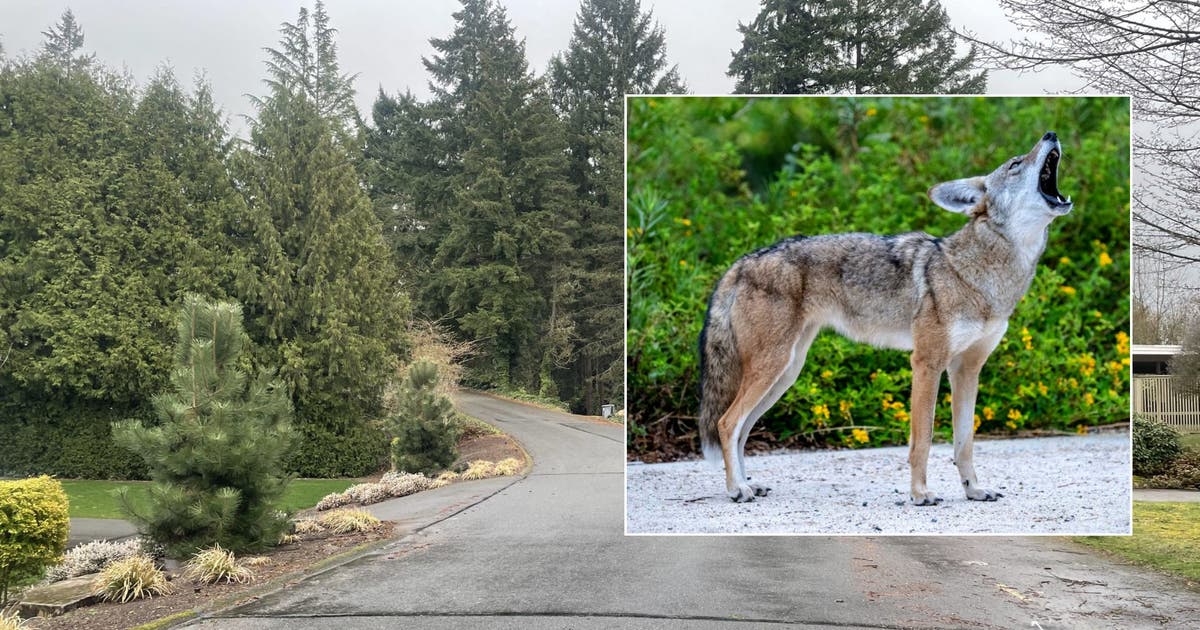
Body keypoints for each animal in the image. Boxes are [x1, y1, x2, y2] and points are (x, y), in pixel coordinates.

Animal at [698, 132, 1073, 505]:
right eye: (1015, 163)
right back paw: (737, 489)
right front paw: (920, 493)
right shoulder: (926, 363)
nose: (1051, 134)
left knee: (741, 430)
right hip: (774, 369)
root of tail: (742, 262)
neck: (982, 276)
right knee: (726, 424)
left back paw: (748, 484)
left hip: (785, 374)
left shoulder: (967, 369)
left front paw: (974, 490)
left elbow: (964, 444)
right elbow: (922, 440)